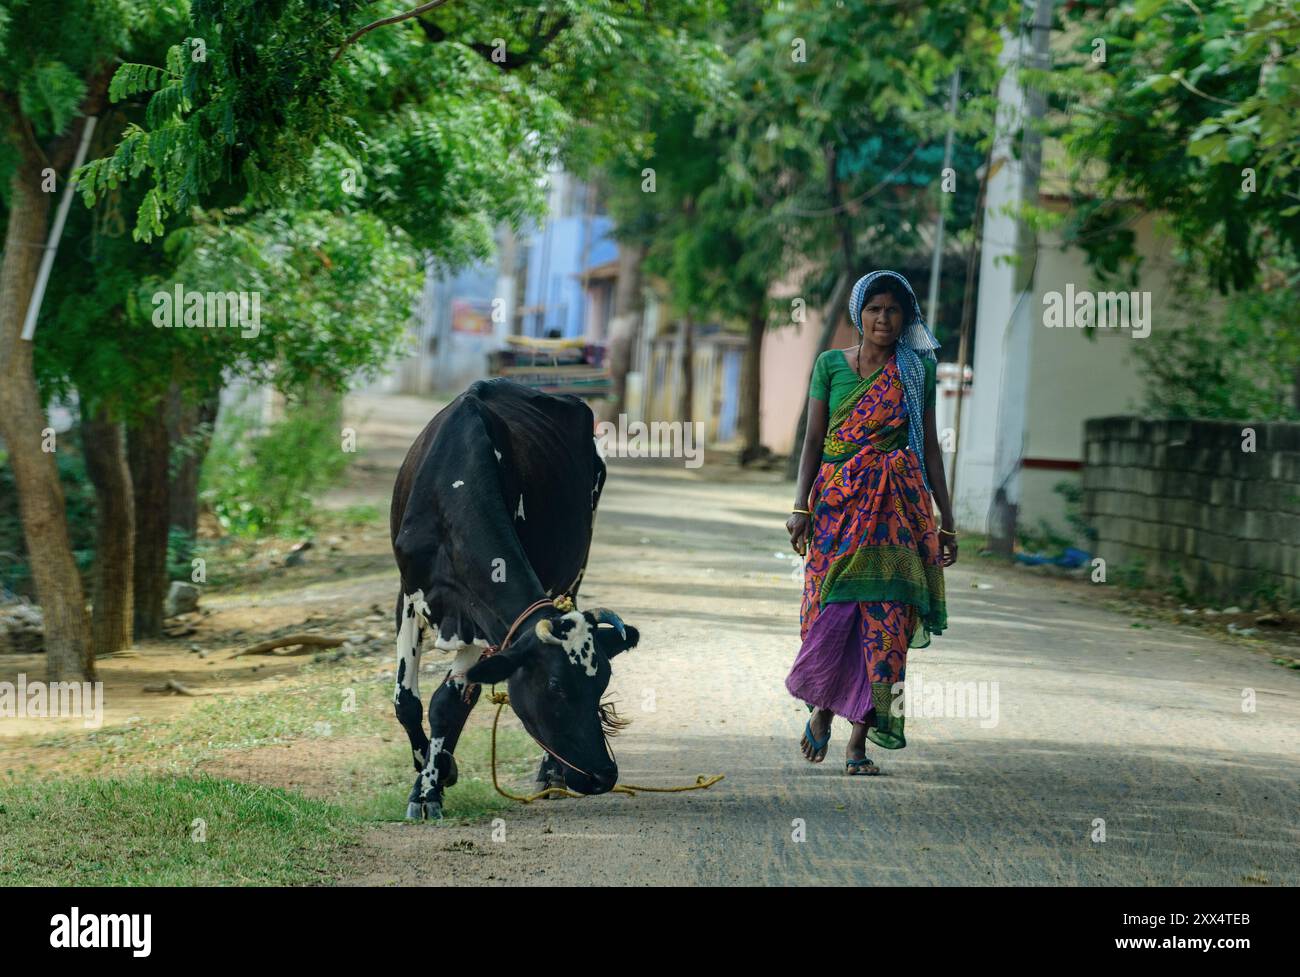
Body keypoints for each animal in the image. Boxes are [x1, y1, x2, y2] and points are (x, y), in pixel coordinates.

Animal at [389, 378, 640, 820]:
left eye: (603, 682)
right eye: (555, 687)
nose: (602, 775)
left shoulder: (484, 617)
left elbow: (447, 702)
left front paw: (431, 786)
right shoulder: (410, 591)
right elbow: (408, 702)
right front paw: (430, 778)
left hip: (575, 569)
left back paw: (550, 773)